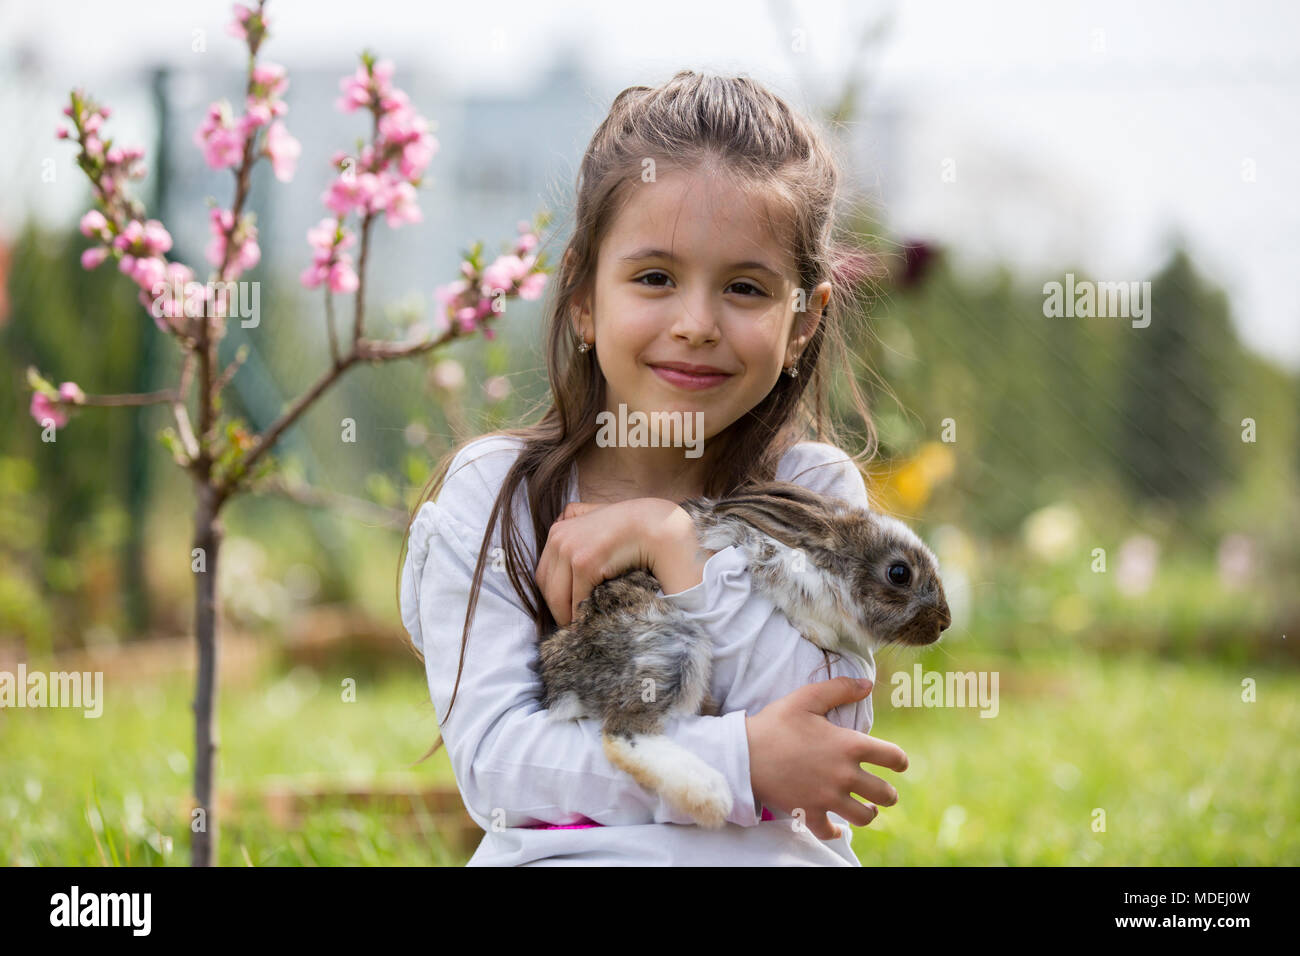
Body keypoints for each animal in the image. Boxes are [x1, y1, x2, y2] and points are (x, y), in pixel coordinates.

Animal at [537, 479, 950, 828]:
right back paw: (711, 795)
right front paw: (820, 633)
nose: (944, 622)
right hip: (672, 645)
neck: (820, 564)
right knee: (623, 734)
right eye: (899, 573)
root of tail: (562, 684)